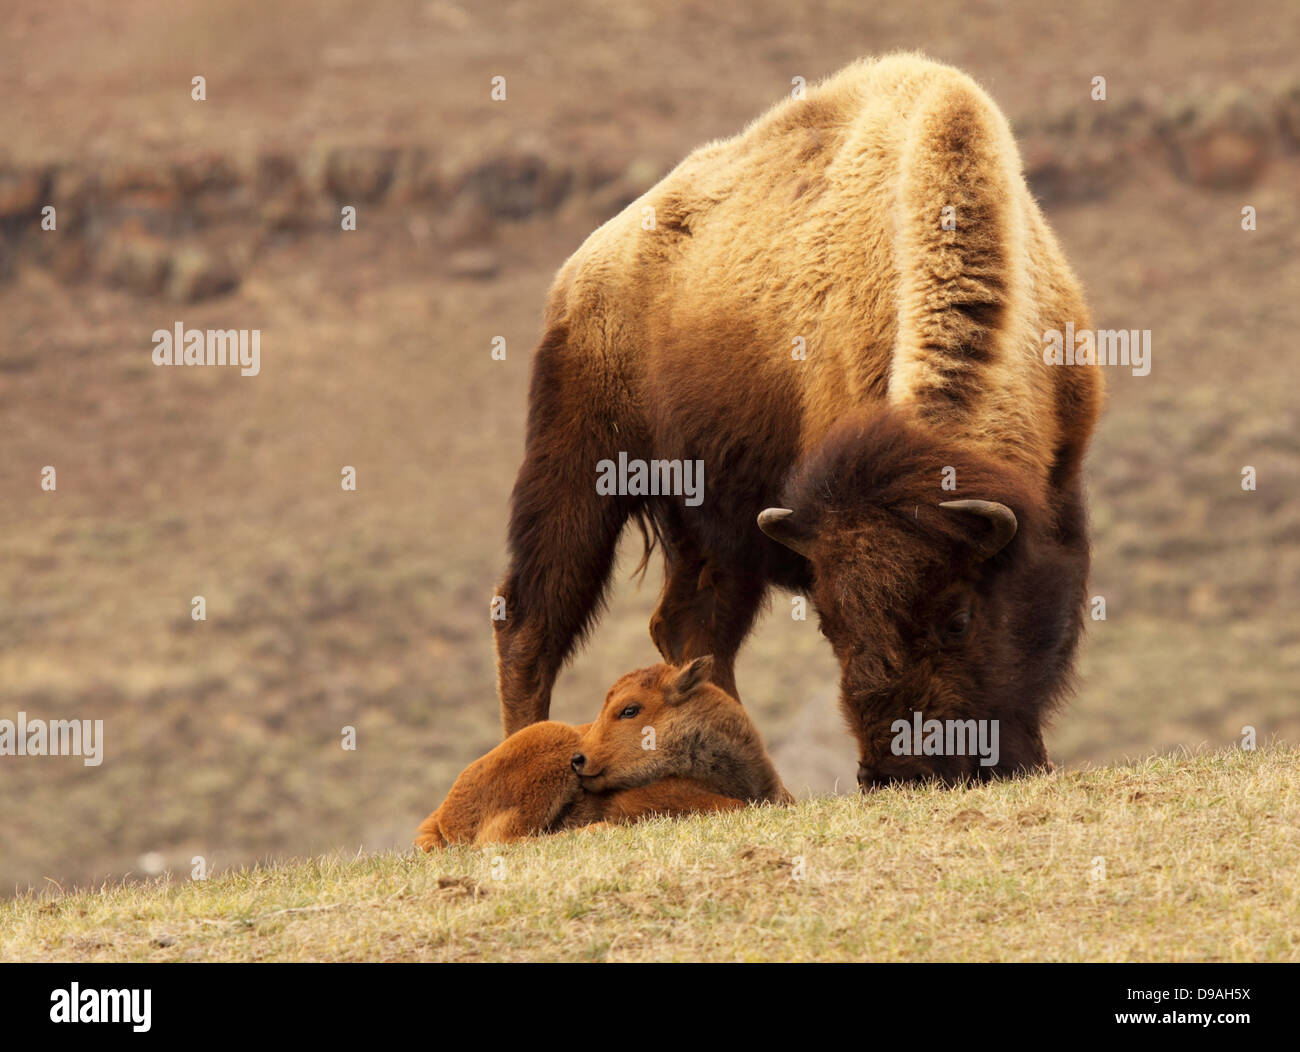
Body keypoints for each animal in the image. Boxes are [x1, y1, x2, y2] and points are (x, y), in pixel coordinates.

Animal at [492, 53, 1103, 789]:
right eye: (829, 625)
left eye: (957, 618)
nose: (897, 773)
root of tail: (579, 274)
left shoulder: (1060, 492)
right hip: (579, 471)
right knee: (531, 623)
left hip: (709, 526)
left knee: (691, 632)